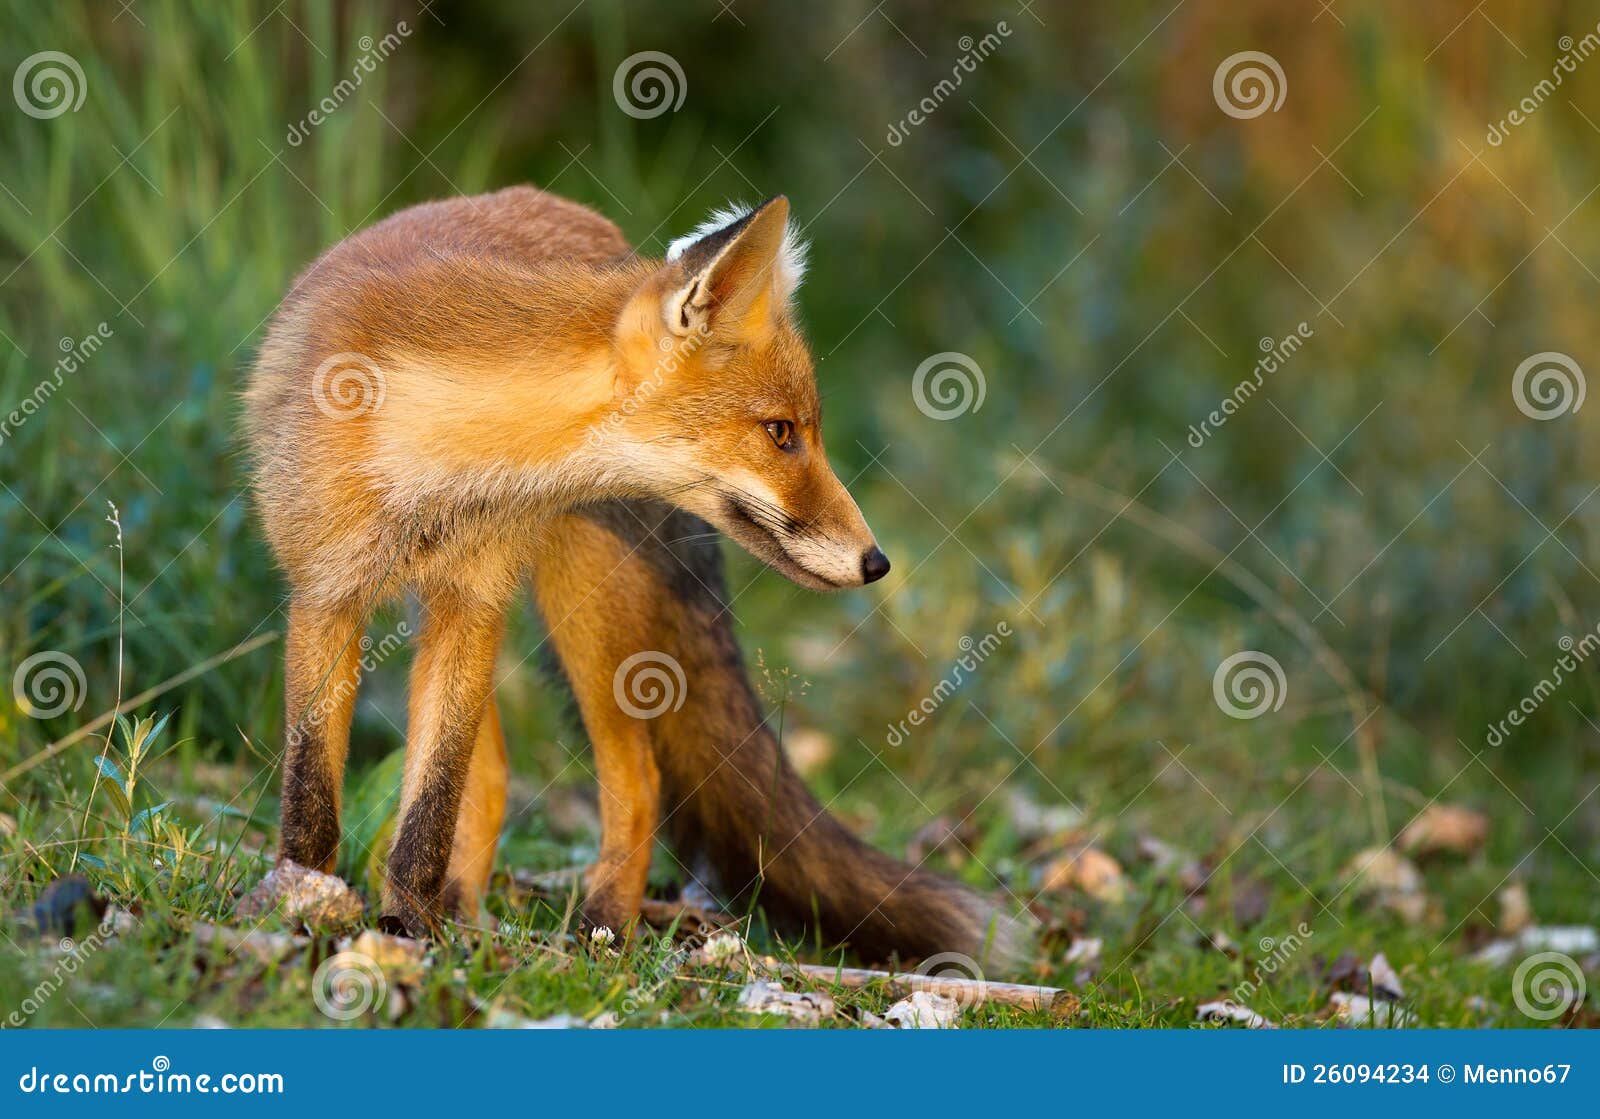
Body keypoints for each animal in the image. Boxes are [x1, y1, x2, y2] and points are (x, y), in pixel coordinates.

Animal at [244, 184, 1027, 966]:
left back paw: (602, 925)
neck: (438, 455)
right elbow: (314, 793)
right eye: (781, 433)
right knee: (494, 776)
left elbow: (429, 809)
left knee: (634, 777)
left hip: (581, 599)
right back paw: (466, 907)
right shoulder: (326, 593)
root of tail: (587, 221)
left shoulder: (473, 597)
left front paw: (403, 929)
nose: (877, 562)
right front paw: (306, 898)